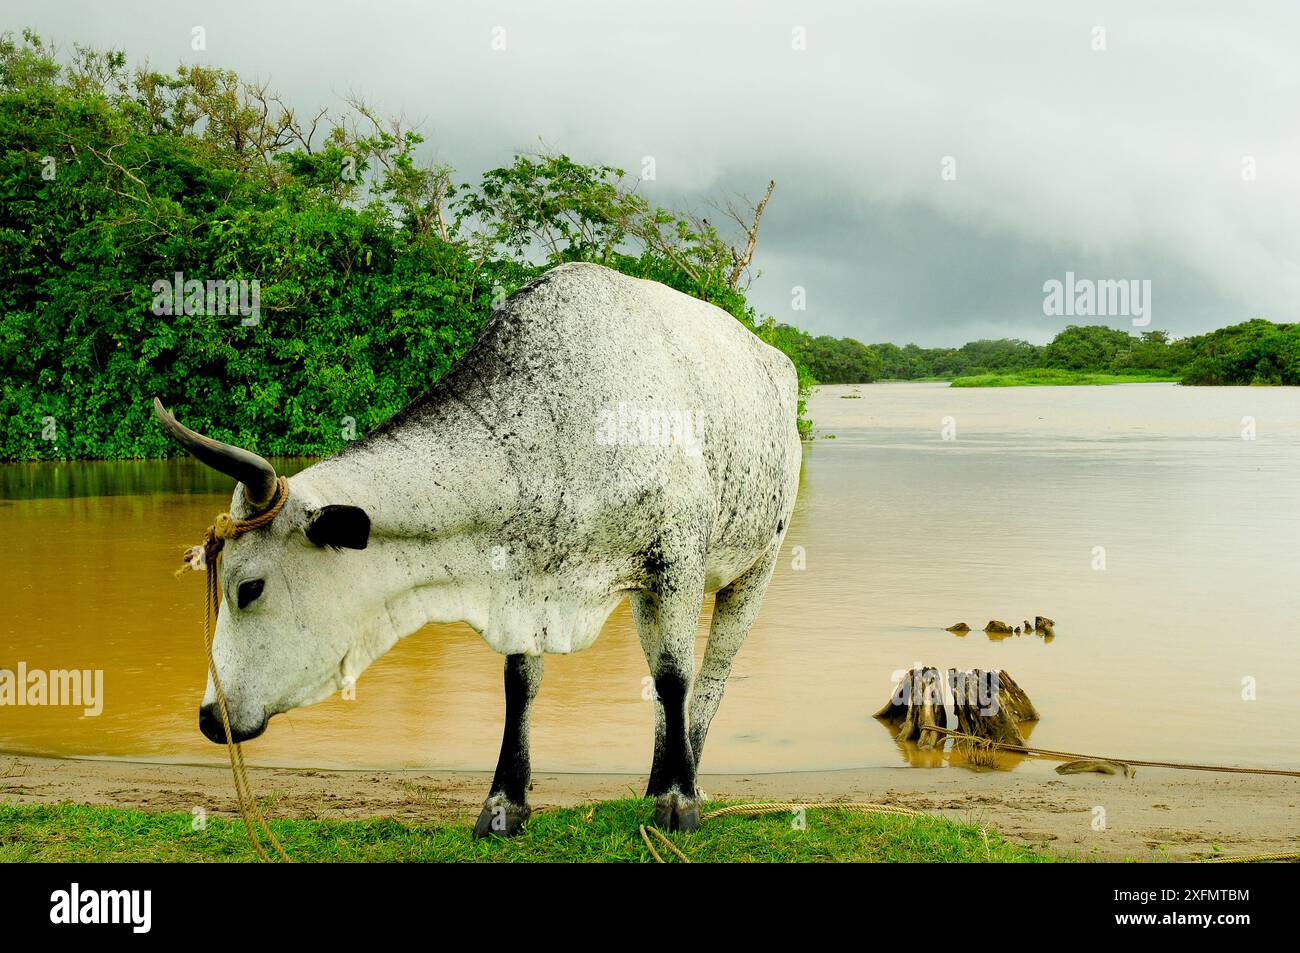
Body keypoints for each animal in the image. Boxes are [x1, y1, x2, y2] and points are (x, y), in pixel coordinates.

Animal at [155, 262, 802, 836]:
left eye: (249, 587)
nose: (210, 718)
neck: (564, 423)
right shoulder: (528, 576)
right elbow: (521, 686)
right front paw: (505, 803)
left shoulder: (678, 561)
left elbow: (674, 677)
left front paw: (679, 801)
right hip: (651, 595)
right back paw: (652, 781)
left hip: (756, 566)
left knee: (708, 679)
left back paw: (682, 780)